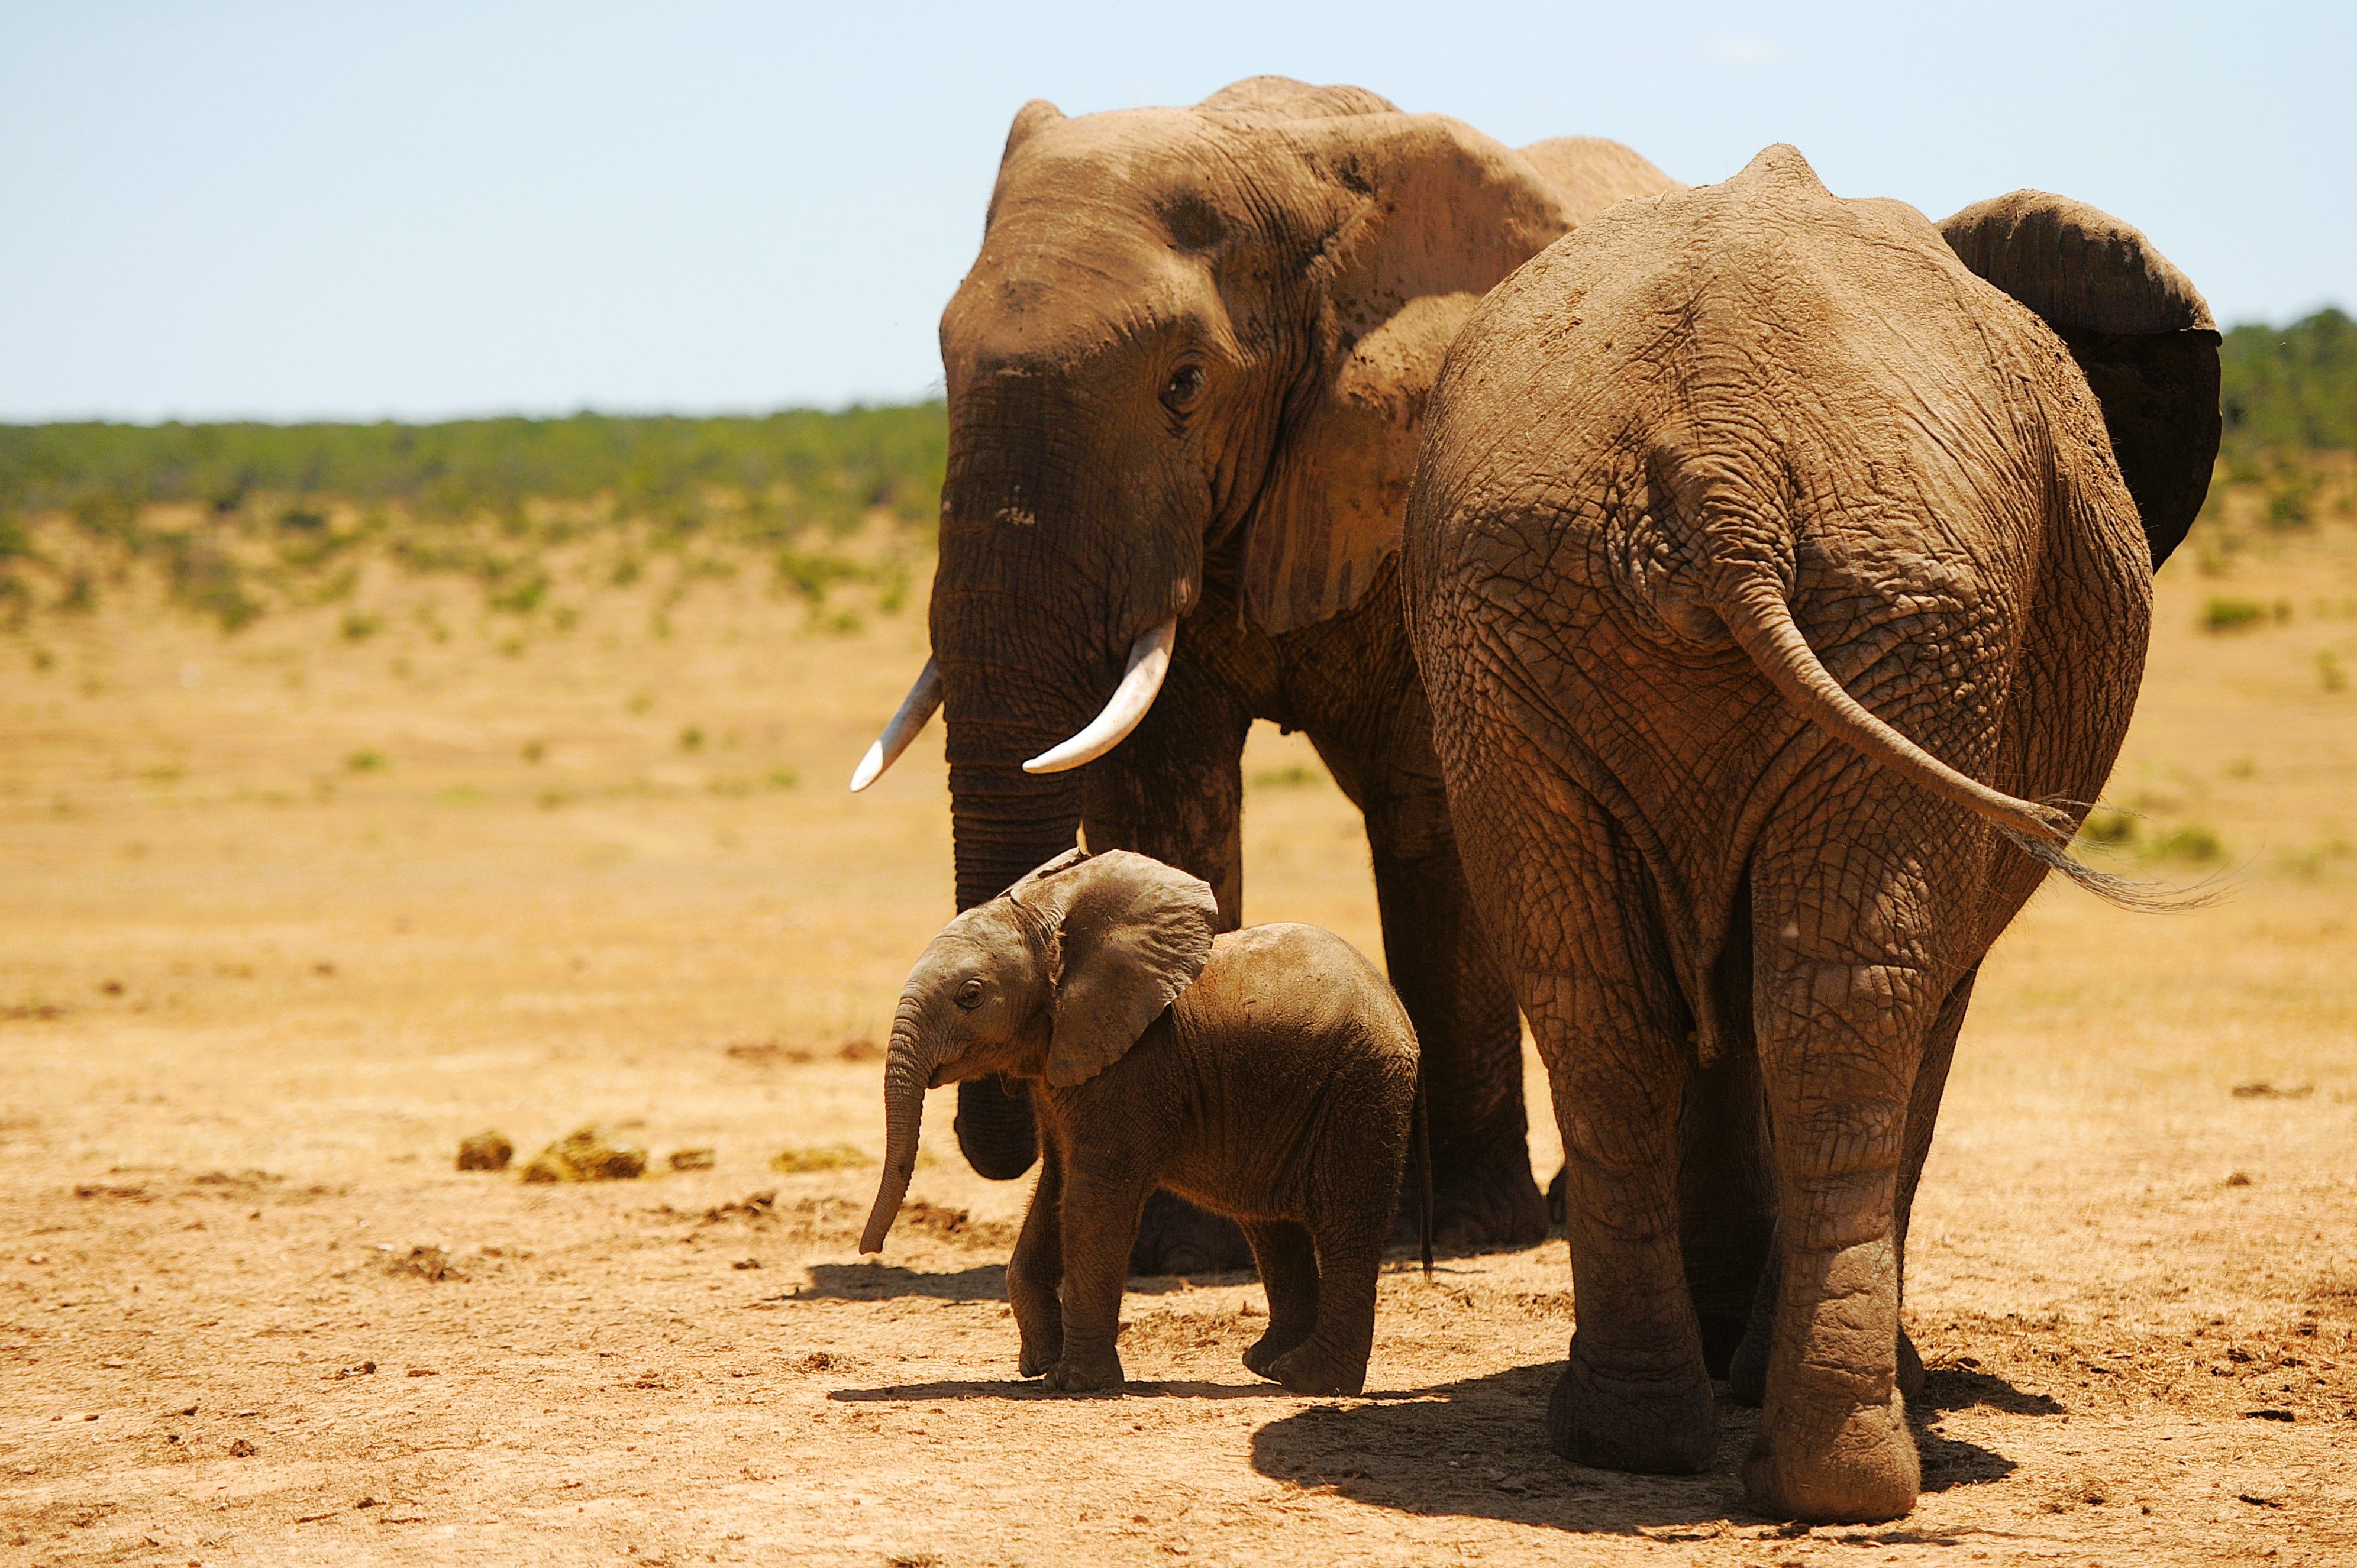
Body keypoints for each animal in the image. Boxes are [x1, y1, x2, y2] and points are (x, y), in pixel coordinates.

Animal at [848, 75, 1678, 1269]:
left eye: (1184, 385)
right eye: (946, 367)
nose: (1001, 1139)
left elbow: (1432, 813)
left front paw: (1469, 1229)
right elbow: (1169, 799)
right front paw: (1175, 1248)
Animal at [858, 847, 1422, 1396]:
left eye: (971, 995)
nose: (870, 1249)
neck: (1058, 924)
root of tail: (1393, 1001)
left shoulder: (1132, 1067)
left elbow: (1093, 1198)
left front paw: (1073, 1383)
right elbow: (1056, 1186)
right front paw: (1039, 1363)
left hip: (1360, 1088)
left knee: (1346, 1227)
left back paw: (1310, 1379)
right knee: (1271, 1225)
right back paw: (1268, 1364)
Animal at [1401, 146, 2218, 1521]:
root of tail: (1717, 465)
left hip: (1520, 616)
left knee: (1604, 996)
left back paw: (1635, 1437)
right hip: (1904, 619)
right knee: (1852, 996)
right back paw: (1836, 1467)